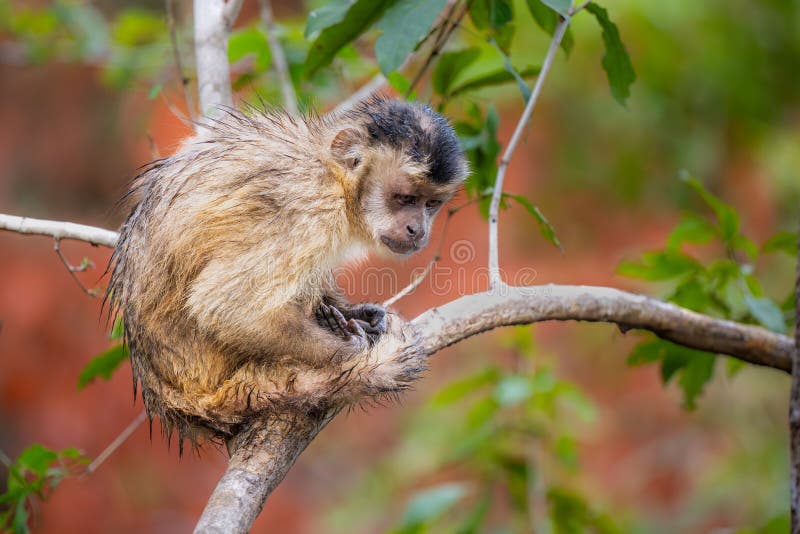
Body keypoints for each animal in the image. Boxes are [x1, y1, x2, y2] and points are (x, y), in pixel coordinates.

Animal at [108, 95, 468, 446]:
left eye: (430, 204)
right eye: (405, 198)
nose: (418, 229)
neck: (334, 176)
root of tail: (173, 399)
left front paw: (352, 312)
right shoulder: (312, 207)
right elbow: (223, 307)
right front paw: (346, 352)